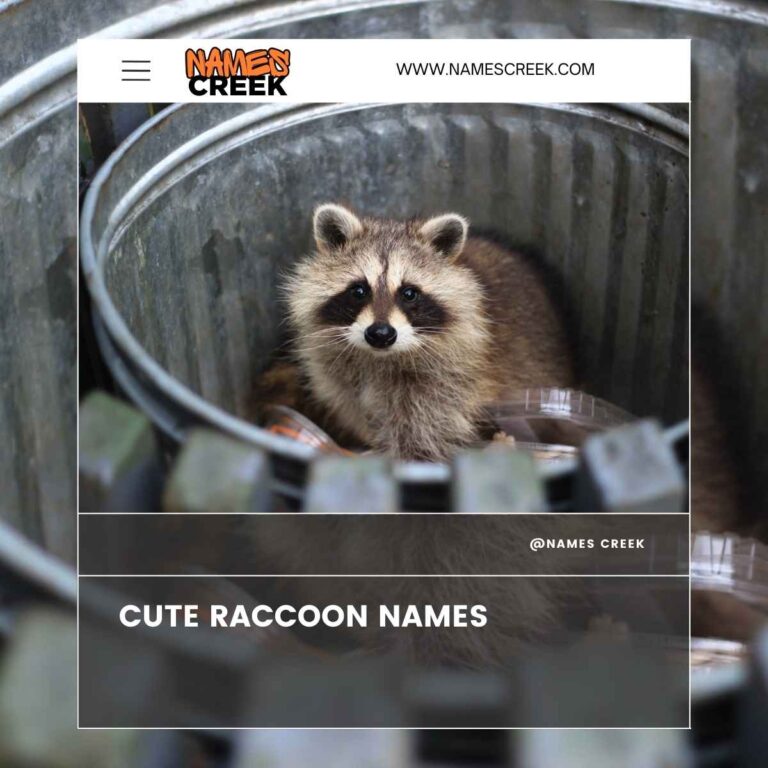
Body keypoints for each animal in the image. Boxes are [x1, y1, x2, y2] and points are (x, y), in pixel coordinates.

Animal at [280, 203, 575, 461]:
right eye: (359, 290)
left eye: (409, 293)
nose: (380, 334)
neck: (380, 359)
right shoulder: (339, 376)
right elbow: (356, 408)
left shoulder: (450, 381)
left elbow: (424, 432)